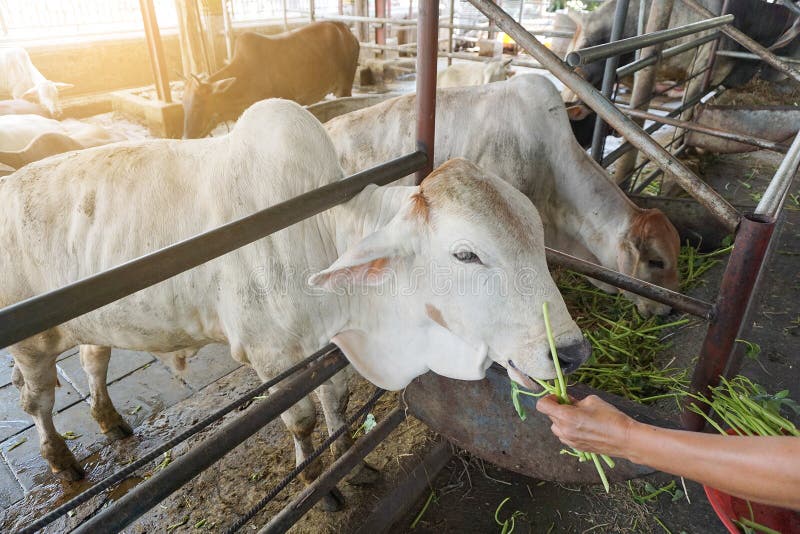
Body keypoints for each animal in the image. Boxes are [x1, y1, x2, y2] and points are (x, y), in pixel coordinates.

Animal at [1, 99, 589, 510]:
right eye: (466, 254)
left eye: (538, 234)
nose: (571, 352)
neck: (321, 227)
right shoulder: (272, 353)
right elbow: (301, 418)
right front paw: (318, 485)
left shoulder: (323, 342)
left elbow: (336, 398)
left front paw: (349, 463)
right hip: (32, 343)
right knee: (38, 400)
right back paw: (63, 462)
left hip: (91, 325)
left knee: (93, 360)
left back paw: (112, 422)